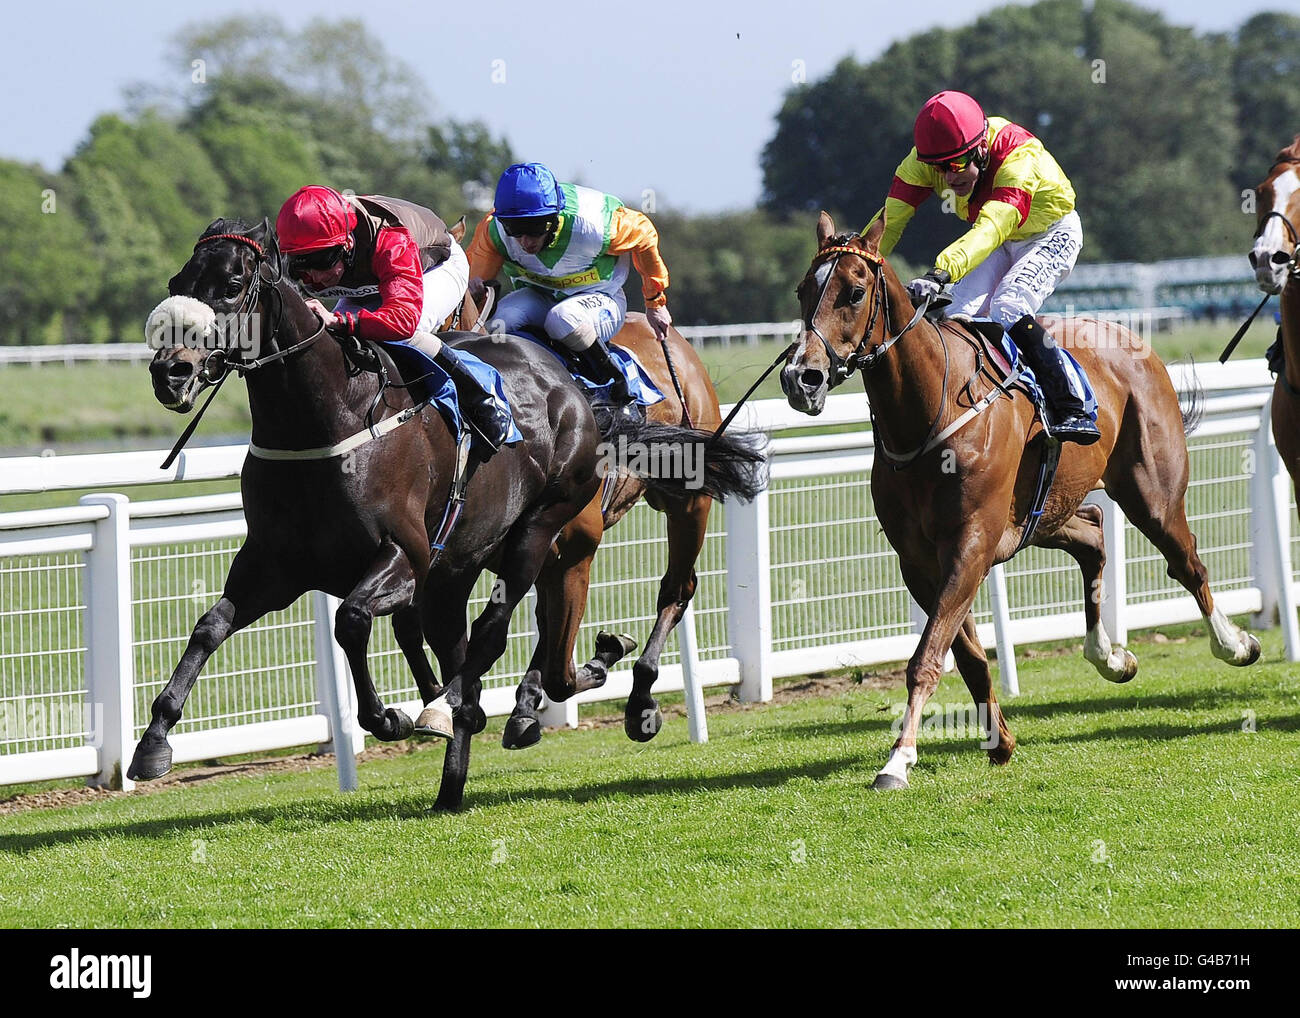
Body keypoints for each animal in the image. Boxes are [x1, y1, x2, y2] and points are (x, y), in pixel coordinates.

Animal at [136, 217, 765, 809]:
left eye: (232, 285)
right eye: (175, 283)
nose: (170, 372)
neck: (327, 423)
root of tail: (566, 383)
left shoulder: (408, 557)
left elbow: (353, 622)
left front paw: (394, 716)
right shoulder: (275, 564)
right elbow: (210, 626)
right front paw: (153, 743)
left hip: (573, 521)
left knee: (530, 624)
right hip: (463, 566)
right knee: (483, 647)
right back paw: (460, 762)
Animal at [780, 211, 1261, 790]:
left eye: (854, 292)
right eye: (803, 290)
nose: (799, 377)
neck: (930, 412)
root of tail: (1132, 339)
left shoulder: (970, 543)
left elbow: (927, 657)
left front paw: (898, 760)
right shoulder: (920, 559)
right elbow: (962, 654)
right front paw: (999, 740)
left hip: (1152, 494)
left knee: (1186, 562)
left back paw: (1234, 644)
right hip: (1045, 512)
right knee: (1093, 533)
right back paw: (1109, 656)